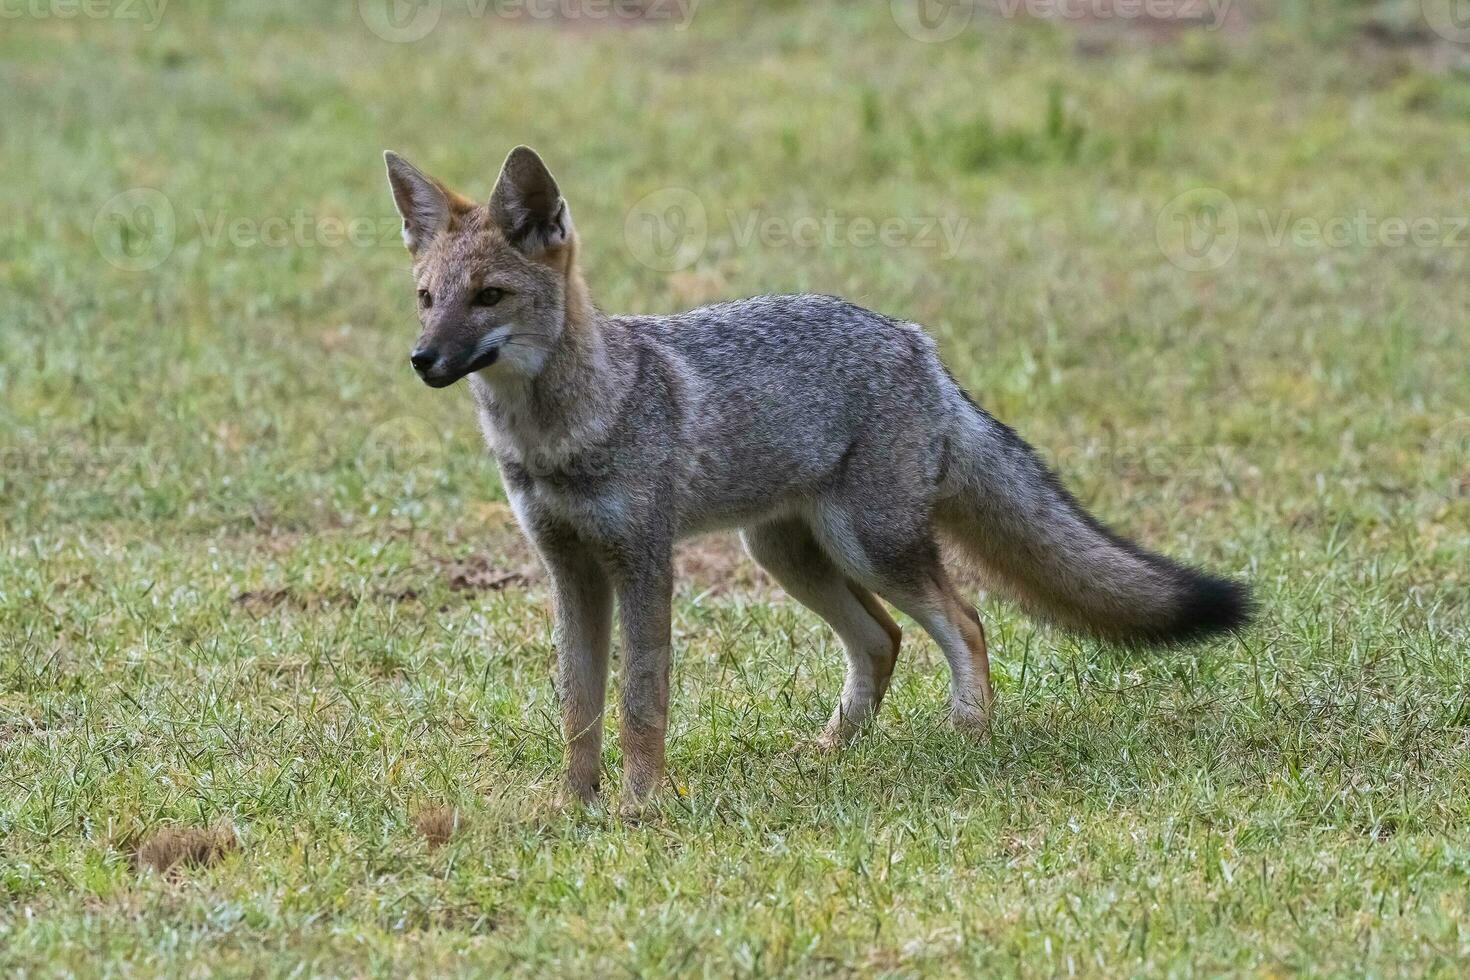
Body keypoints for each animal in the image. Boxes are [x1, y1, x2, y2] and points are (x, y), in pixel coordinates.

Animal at [384, 146, 1252, 813]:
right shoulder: (570, 572)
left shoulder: (643, 565)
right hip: (786, 553)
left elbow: (639, 702)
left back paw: (968, 734)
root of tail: (916, 341)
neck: (560, 434)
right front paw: (574, 804)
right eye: (426, 300)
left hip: (870, 546)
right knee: (884, 638)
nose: (421, 359)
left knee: (964, 620)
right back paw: (834, 750)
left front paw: (639, 805)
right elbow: (579, 706)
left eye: (488, 297)